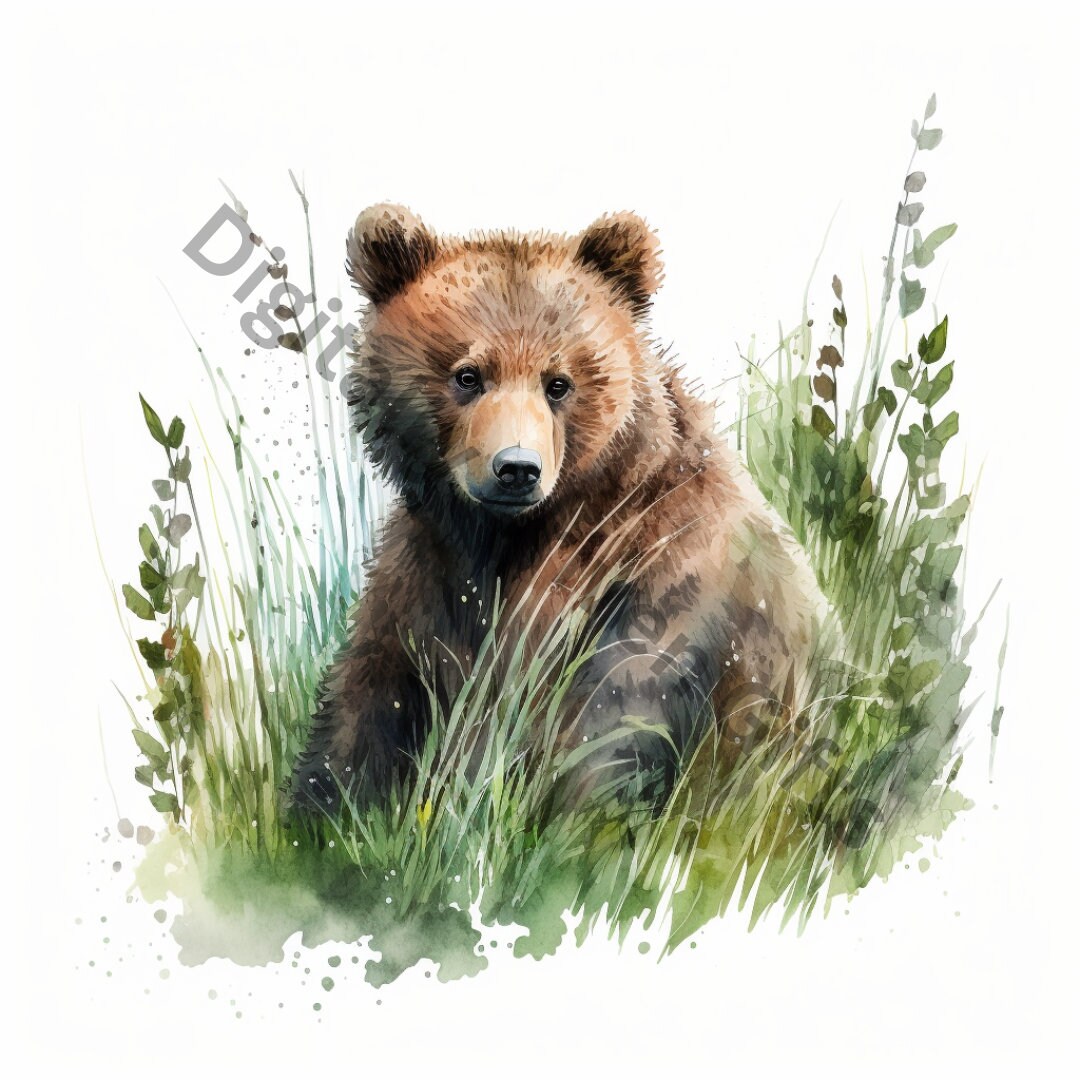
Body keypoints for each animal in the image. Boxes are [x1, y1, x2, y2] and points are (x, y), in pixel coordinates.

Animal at [291, 203, 828, 815]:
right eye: (468, 375)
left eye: (559, 383)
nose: (516, 468)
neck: (510, 535)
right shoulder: (425, 575)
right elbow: (372, 697)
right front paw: (324, 802)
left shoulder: (655, 579)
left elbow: (607, 721)